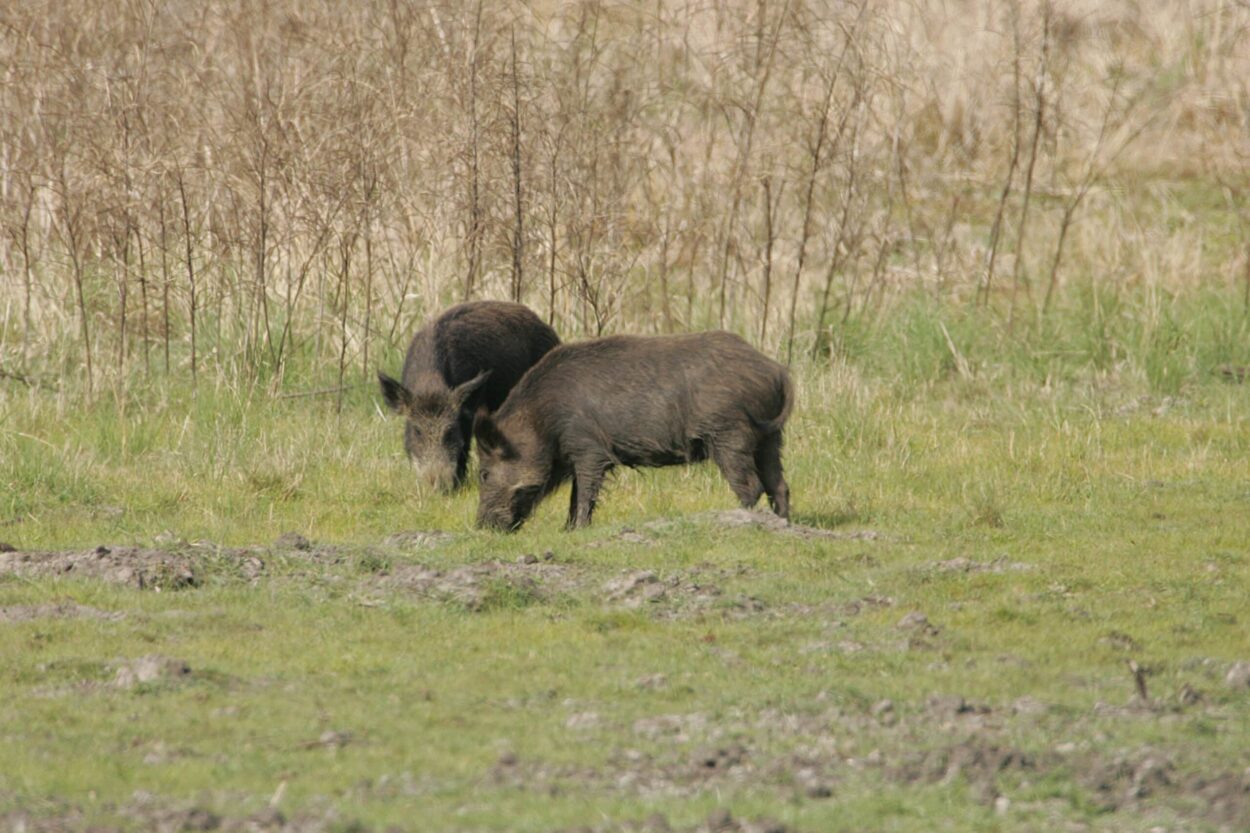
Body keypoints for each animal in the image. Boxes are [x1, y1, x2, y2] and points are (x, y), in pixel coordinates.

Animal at [378, 301, 560, 491]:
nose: (438, 485)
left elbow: (464, 446)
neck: (431, 387)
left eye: (450, 430)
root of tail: (549, 330)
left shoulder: (467, 414)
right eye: (417, 431)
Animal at [474, 331, 793, 531]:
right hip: (770, 437)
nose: (481, 527)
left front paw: (576, 530)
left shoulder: (588, 447)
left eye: (484, 473)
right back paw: (784, 524)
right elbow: (577, 494)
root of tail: (776, 370)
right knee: (779, 484)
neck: (541, 420)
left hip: (729, 433)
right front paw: (567, 530)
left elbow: (584, 492)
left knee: (751, 485)